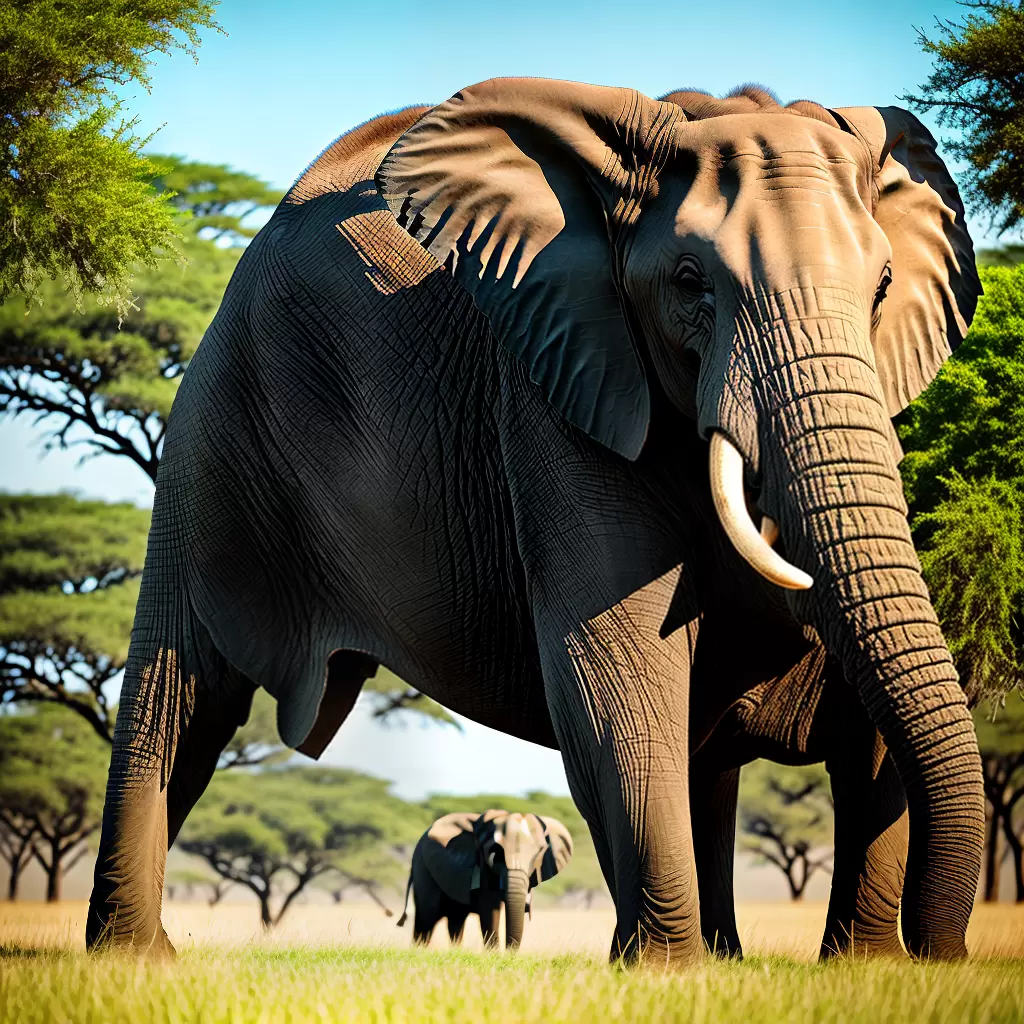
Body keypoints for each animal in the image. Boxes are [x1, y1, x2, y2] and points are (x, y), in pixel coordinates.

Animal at [396, 810, 573, 949]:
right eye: (494, 852)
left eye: (540, 852)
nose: (510, 954)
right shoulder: (483, 868)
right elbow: (490, 911)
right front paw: (493, 954)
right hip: (423, 869)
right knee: (427, 917)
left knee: (455, 919)